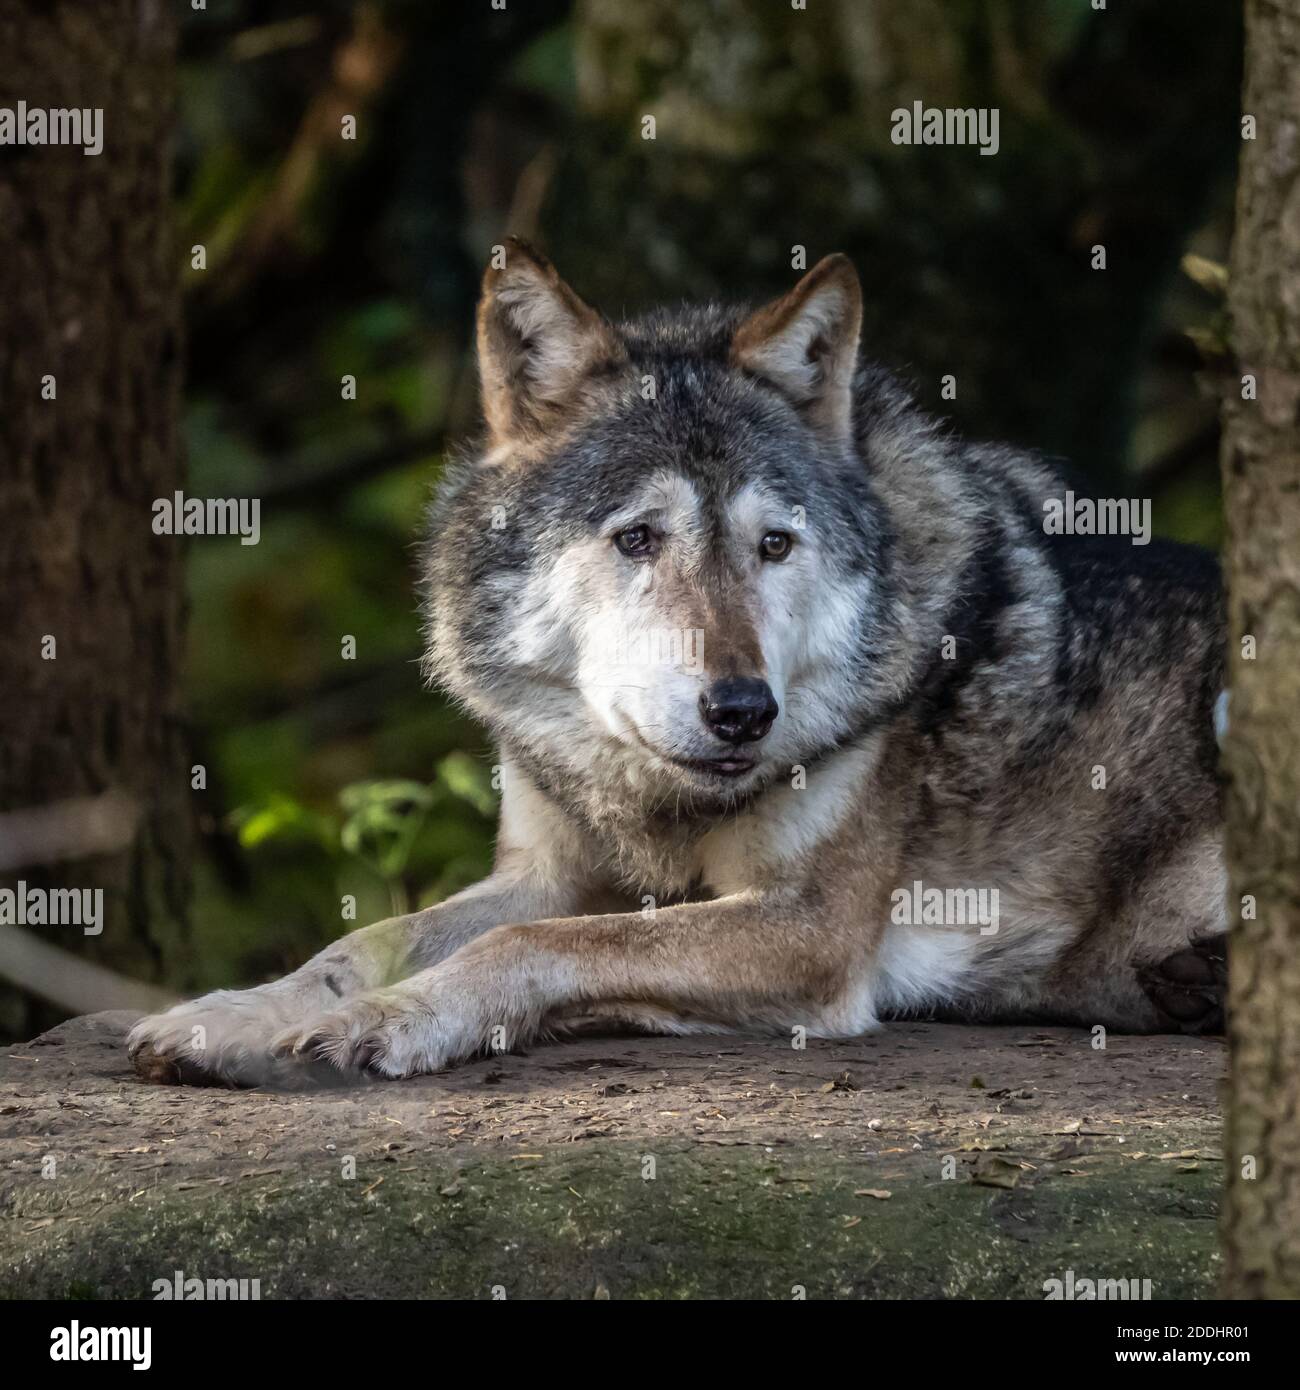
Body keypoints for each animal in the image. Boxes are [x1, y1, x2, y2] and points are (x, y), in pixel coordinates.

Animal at [129, 242, 1228, 1087]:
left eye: (774, 545)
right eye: (638, 538)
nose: (744, 711)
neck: (649, 799)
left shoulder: (811, 929)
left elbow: (538, 945)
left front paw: (390, 1023)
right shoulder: (544, 871)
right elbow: (359, 942)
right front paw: (232, 1014)